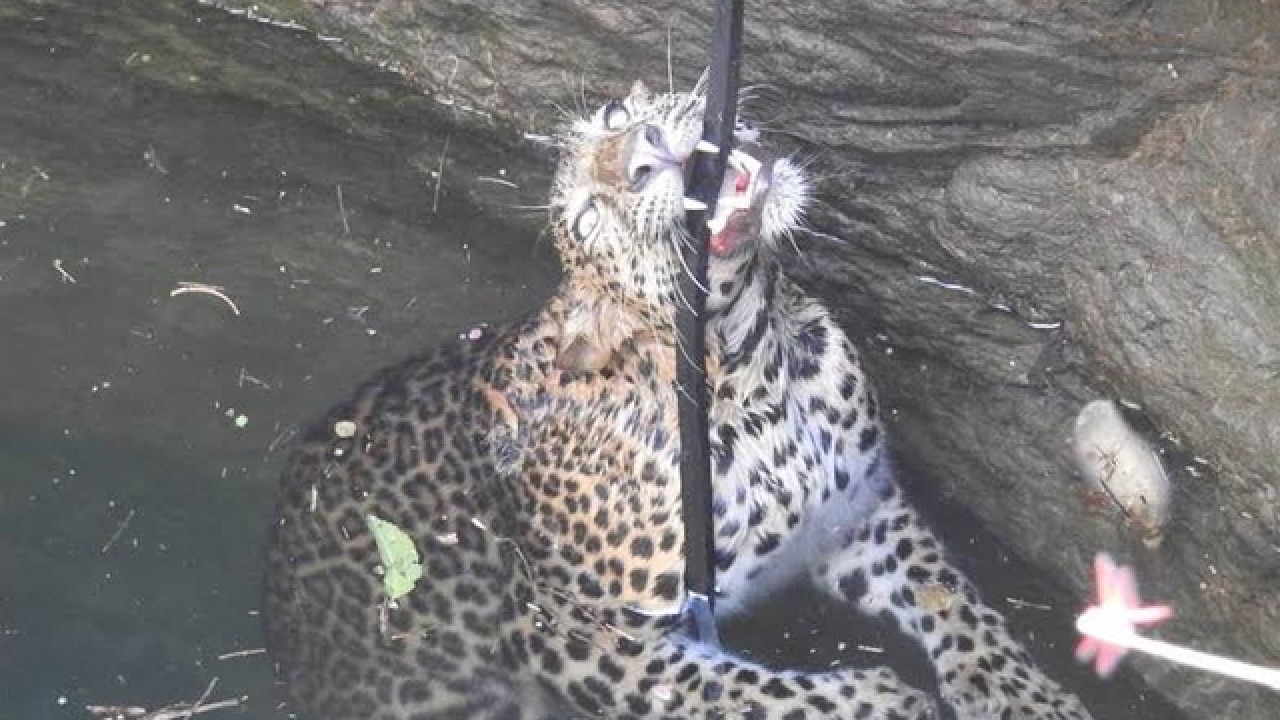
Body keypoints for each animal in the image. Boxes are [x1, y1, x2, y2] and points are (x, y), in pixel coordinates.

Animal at [263, 76, 1095, 720]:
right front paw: (879, 702)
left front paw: (1026, 697)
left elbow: (954, 598)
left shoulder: (855, 513)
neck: (761, 369)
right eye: (592, 217)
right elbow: (718, 691)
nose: (649, 151)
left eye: (614, 117)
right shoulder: (567, 625)